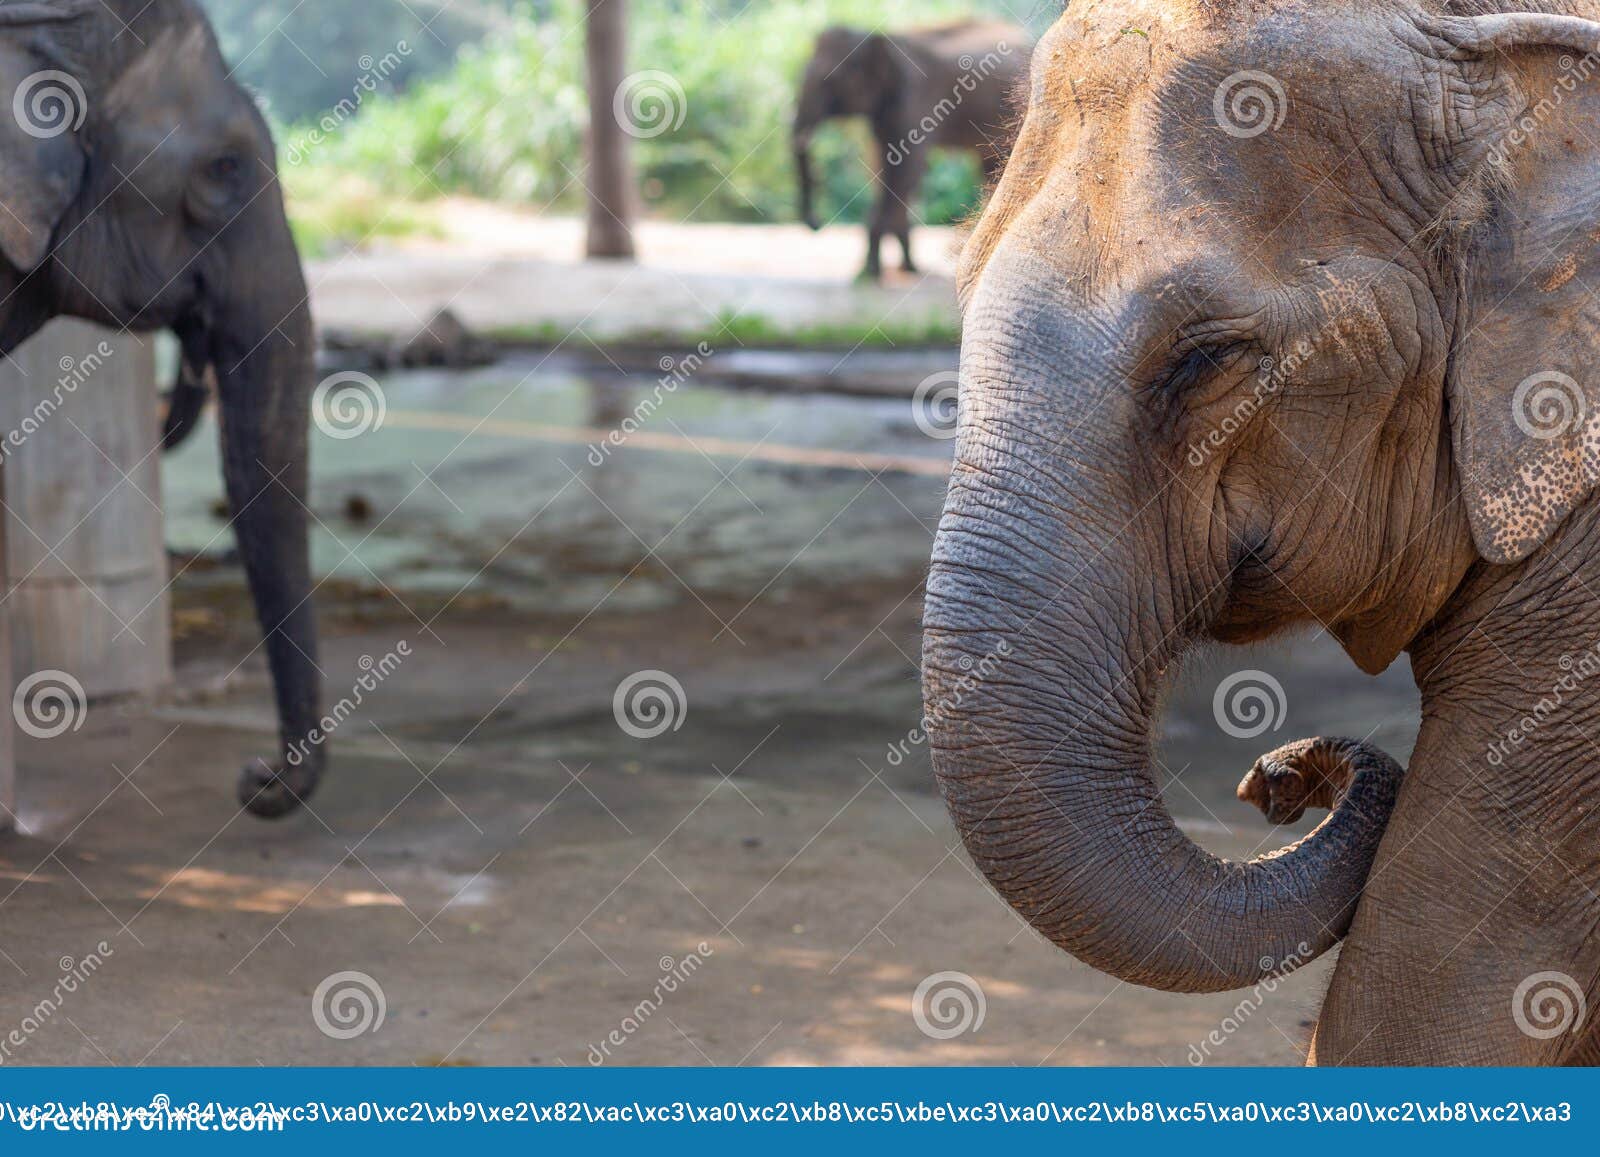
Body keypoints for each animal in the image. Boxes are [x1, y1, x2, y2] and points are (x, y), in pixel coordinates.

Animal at [793, 20, 1030, 280]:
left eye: (831, 81)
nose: (816, 223)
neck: (886, 36)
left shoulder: (919, 99)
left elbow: (906, 170)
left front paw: (871, 274)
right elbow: (887, 166)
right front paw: (902, 268)